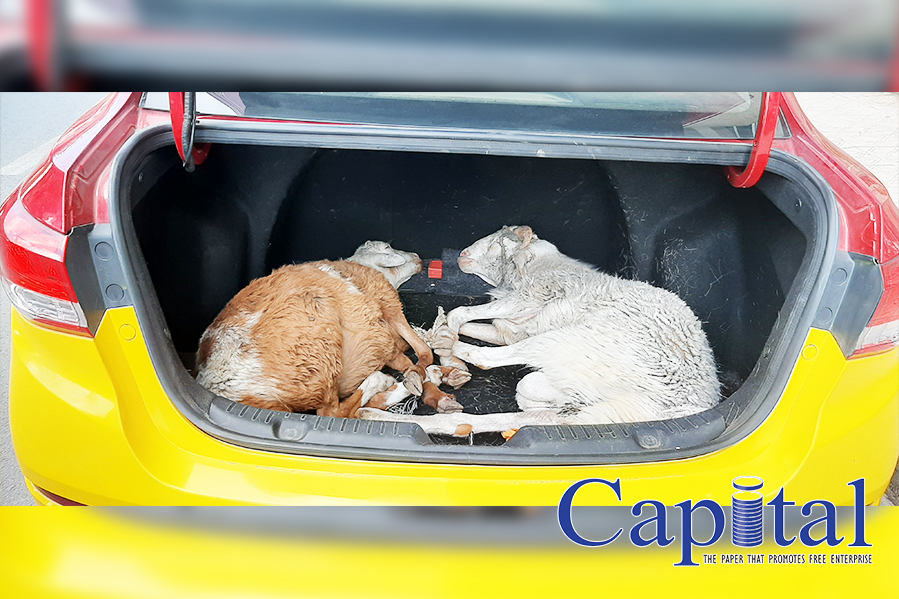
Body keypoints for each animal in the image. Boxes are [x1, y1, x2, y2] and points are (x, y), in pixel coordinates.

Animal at [195, 240, 467, 418]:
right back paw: (381, 382)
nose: (419, 258)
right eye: (388, 249)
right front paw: (427, 380)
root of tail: (220, 386)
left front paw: (436, 388)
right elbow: (422, 353)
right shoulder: (385, 313)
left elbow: (411, 361)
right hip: (318, 355)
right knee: (332, 412)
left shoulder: (383, 340)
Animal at [359, 226, 720, 435]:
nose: (461, 255)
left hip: (572, 341)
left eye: (497, 242)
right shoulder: (511, 329)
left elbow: (461, 314)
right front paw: (447, 339)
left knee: (501, 369)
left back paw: (444, 349)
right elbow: (469, 321)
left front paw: (449, 347)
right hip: (587, 399)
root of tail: (679, 405)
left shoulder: (528, 297)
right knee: (502, 408)